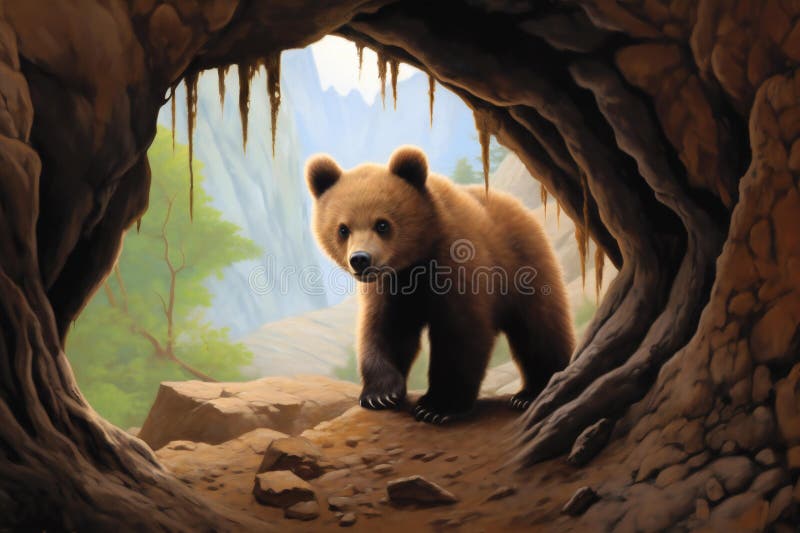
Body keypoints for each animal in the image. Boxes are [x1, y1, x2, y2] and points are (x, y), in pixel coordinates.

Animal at [305, 145, 575, 423]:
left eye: (382, 224)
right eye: (343, 229)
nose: (360, 259)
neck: (415, 261)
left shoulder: (457, 262)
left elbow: (460, 333)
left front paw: (437, 406)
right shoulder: (390, 286)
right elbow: (386, 329)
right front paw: (381, 393)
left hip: (524, 266)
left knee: (539, 327)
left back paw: (533, 391)